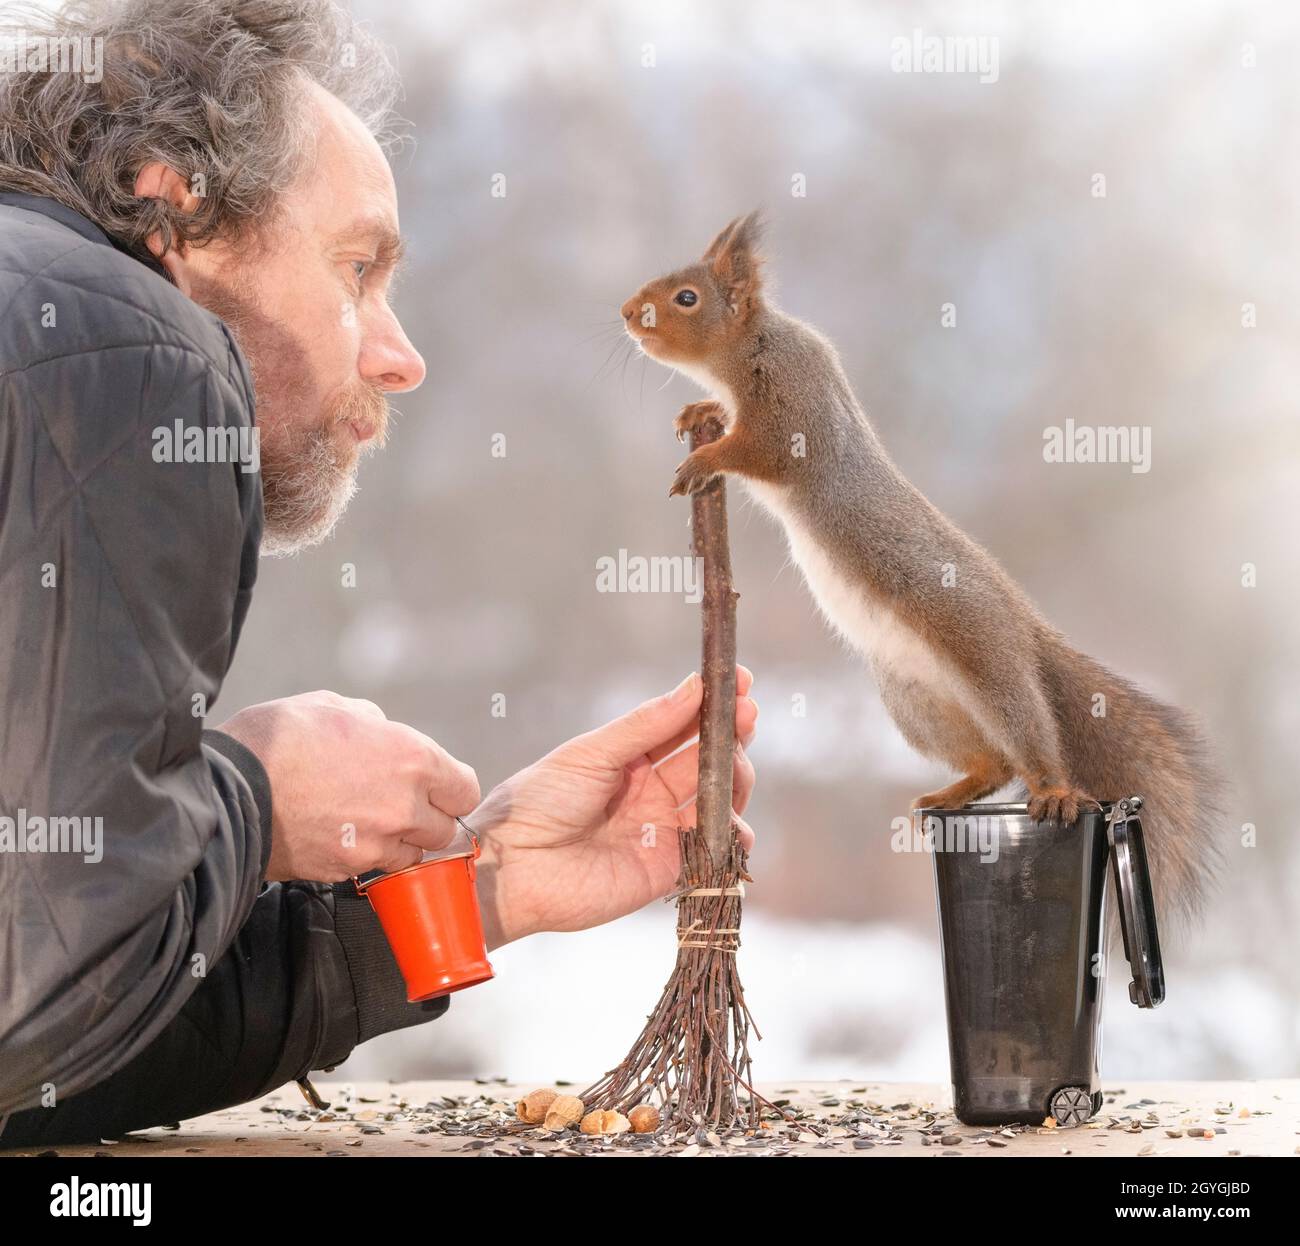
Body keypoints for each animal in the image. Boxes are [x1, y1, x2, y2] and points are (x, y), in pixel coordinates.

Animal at [620, 211, 1226, 933]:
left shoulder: (793, 406)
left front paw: (703, 456)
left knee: (1028, 735)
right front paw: (700, 414)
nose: (627, 312)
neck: (751, 345)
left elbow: (763, 451)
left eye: (686, 298)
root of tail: (1027, 627)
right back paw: (952, 790)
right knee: (993, 763)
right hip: (913, 698)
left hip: (985, 656)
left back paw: (1052, 788)